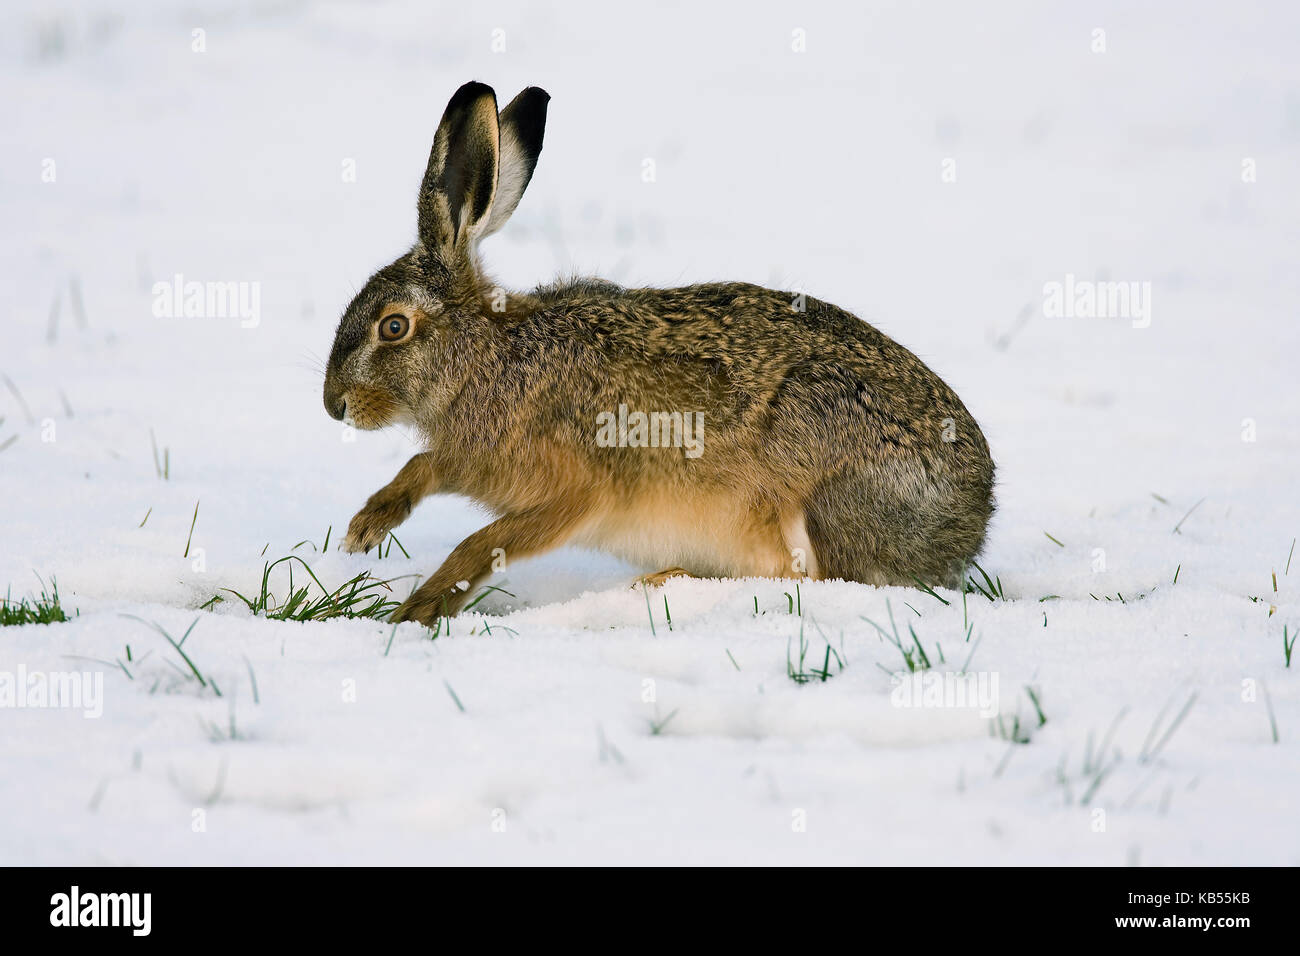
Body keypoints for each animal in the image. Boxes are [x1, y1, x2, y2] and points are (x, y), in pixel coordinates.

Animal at [323, 81, 995, 626]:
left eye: (393, 327)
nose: (335, 406)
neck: (483, 355)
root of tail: (975, 516)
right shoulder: (466, 461)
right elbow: (423, 466)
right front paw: (364, 530)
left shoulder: (577, 491)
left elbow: (481, 543)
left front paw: (413, 614)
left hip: (824, 498)